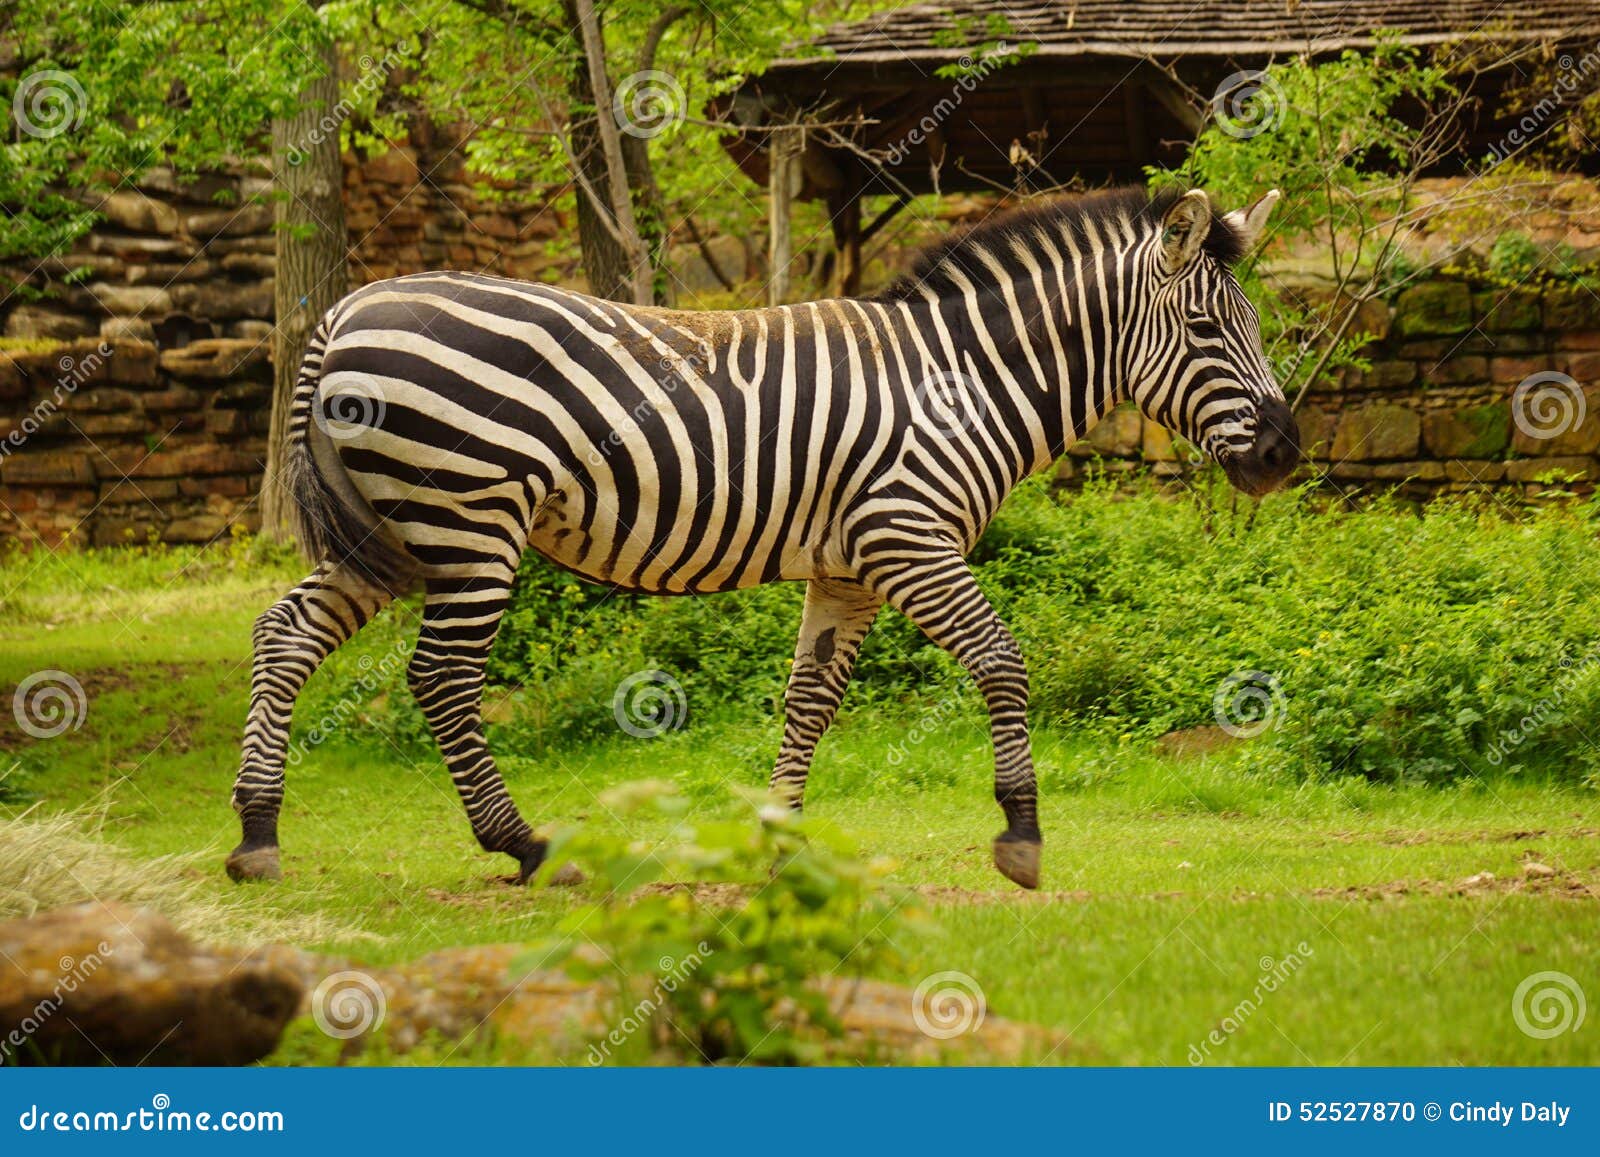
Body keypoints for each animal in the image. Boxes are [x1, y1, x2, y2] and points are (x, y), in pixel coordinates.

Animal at [227, 184, 1299, 891]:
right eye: (1209, 329)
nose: (1286, 452)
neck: (963, 379)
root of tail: (345, 308)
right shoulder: (908, 537)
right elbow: (1002, 660)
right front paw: (1022, 833)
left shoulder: (850, 568)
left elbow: (808, 700)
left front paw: (777, 840)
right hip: (468, 518)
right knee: (442, 678)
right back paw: (525, 845)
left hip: (395, 531)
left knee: (284, 635)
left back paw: (256, 833)